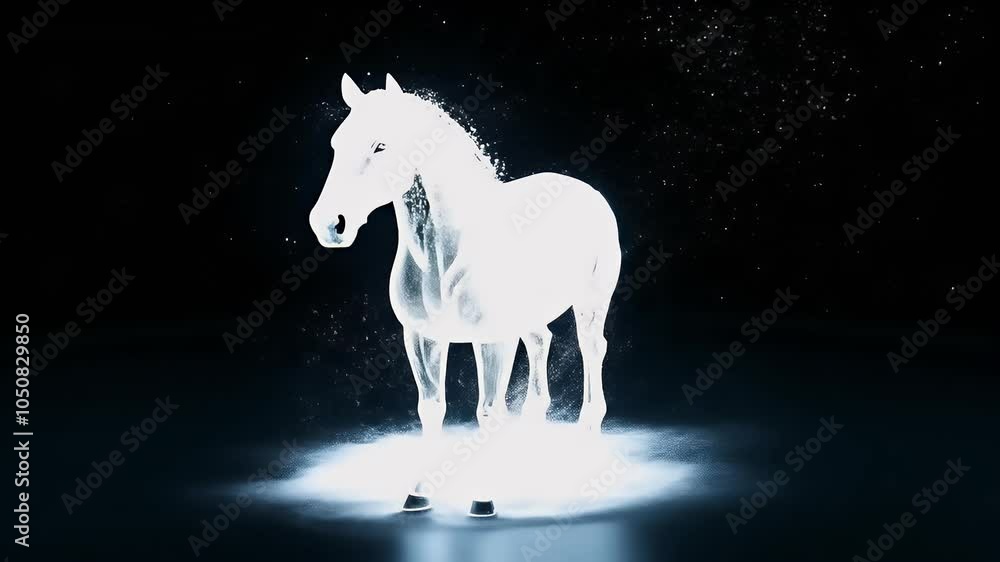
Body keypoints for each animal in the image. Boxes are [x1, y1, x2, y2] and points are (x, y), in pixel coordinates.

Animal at [309, 74, 622, 517]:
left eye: (380, 146)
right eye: (337, 143)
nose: (329, 225)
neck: (443, 260)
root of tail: (586, 189)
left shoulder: (492, 340)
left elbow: (488, 412)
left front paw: (484, 498)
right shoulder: (422, 338)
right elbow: (431, 409)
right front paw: (417, 494)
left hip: (591, 305)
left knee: (592, 353)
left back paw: (584, 453)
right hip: (529, 317)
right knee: (541, 347)